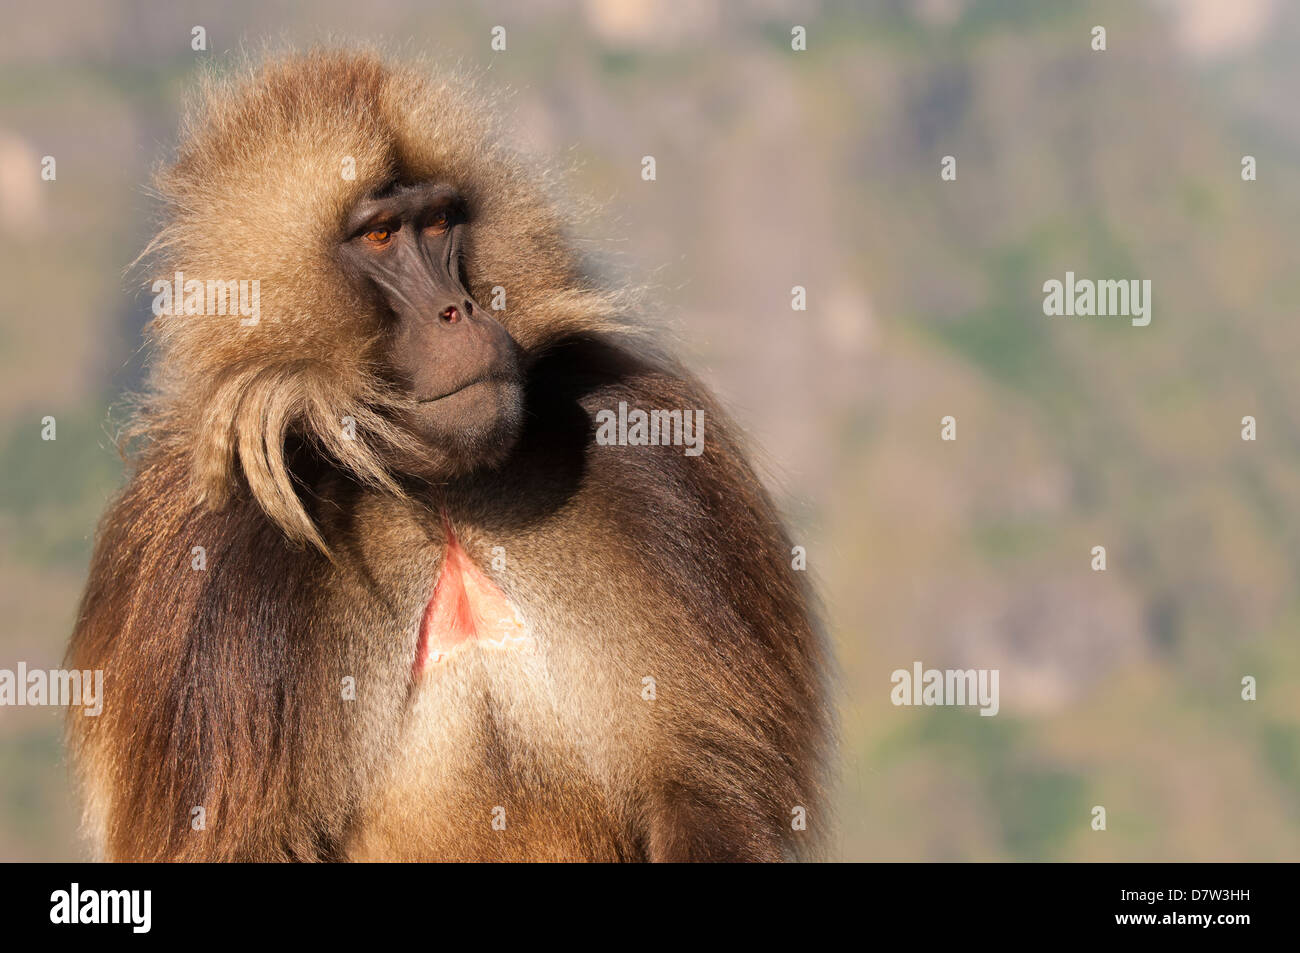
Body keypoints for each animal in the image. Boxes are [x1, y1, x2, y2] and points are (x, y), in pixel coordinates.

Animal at [65, 49, 831, 862]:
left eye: (437, 222)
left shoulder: (649, 451)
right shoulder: (207, 569)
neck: (434, 491)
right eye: (378, 237)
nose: (459, 311)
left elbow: (701, 788)